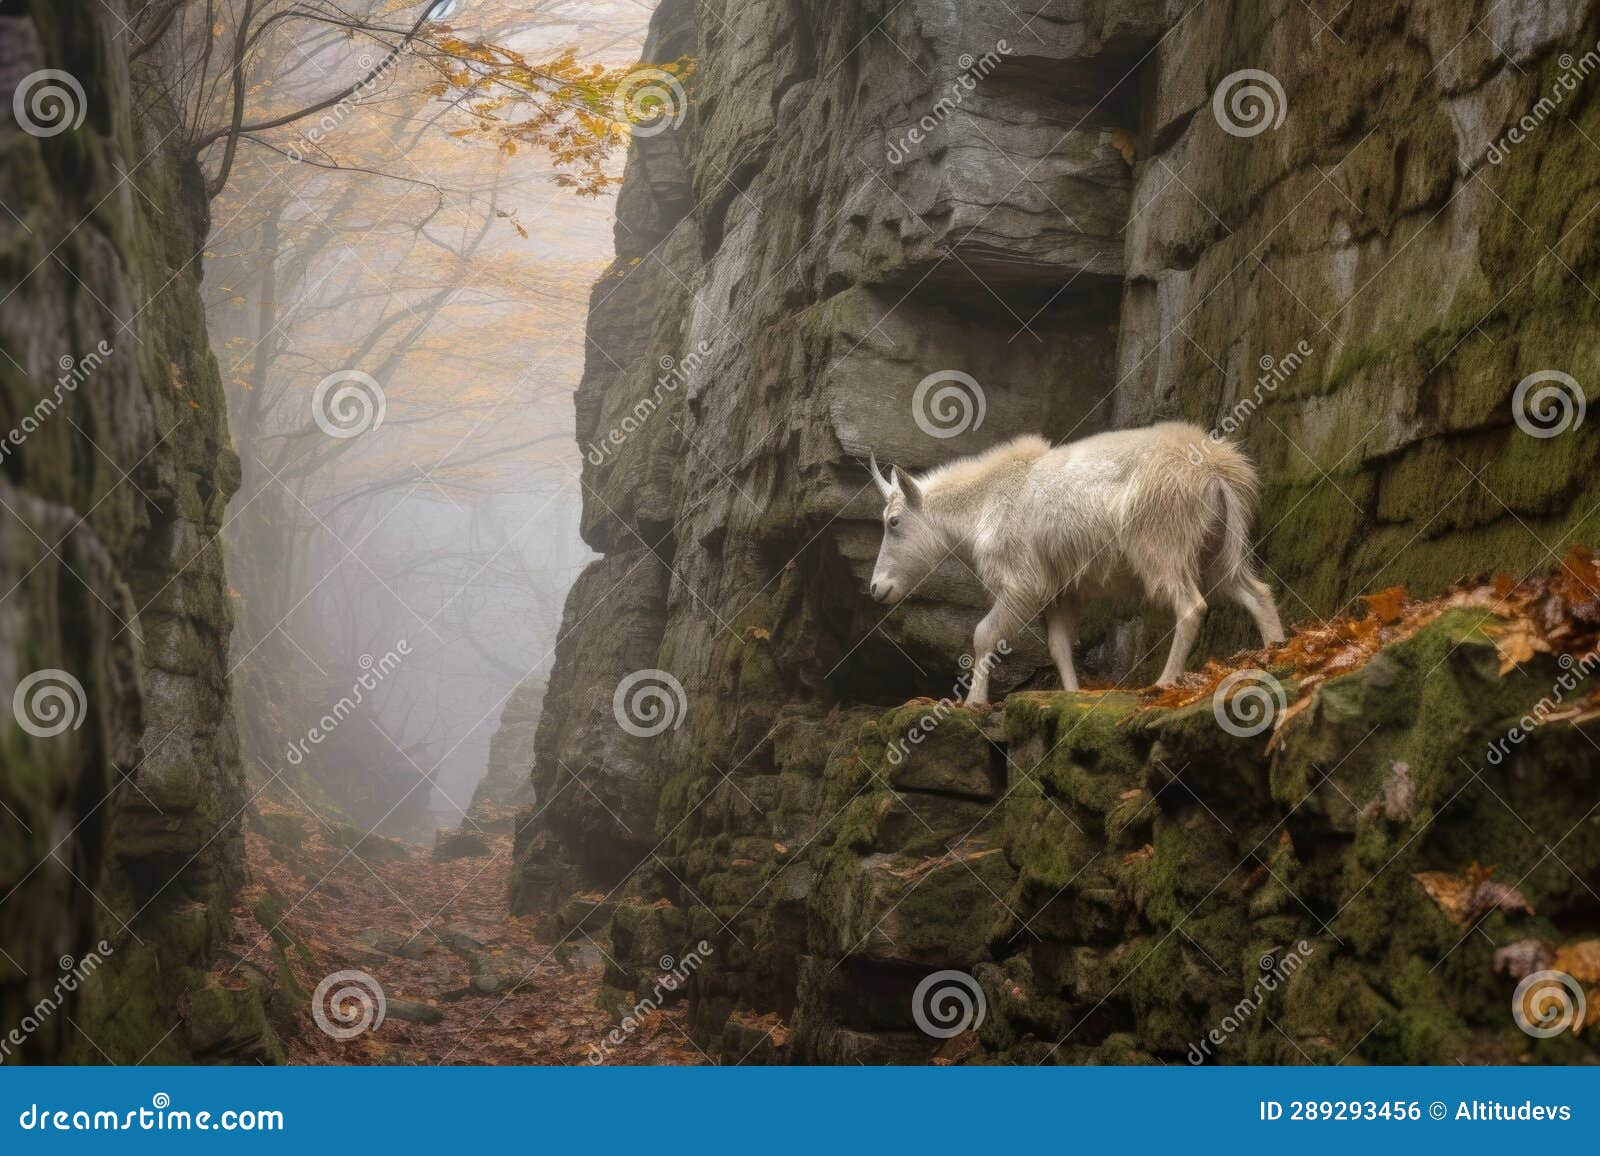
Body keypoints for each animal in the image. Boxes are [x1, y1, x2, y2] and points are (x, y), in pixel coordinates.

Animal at [866, 423, 1285, 706]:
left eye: (894, 522)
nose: (876, 588)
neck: (983, 503)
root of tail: (1217, 471)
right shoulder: (1062, 590)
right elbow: (1059, 644)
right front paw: (1071, 692)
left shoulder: (1022, 584)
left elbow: (984, 634)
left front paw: (973, 703)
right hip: (1218, 552)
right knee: (1256, 592)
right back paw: (1275, 653)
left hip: (1161, 548)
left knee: (1192, 606)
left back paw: (1165, 681)